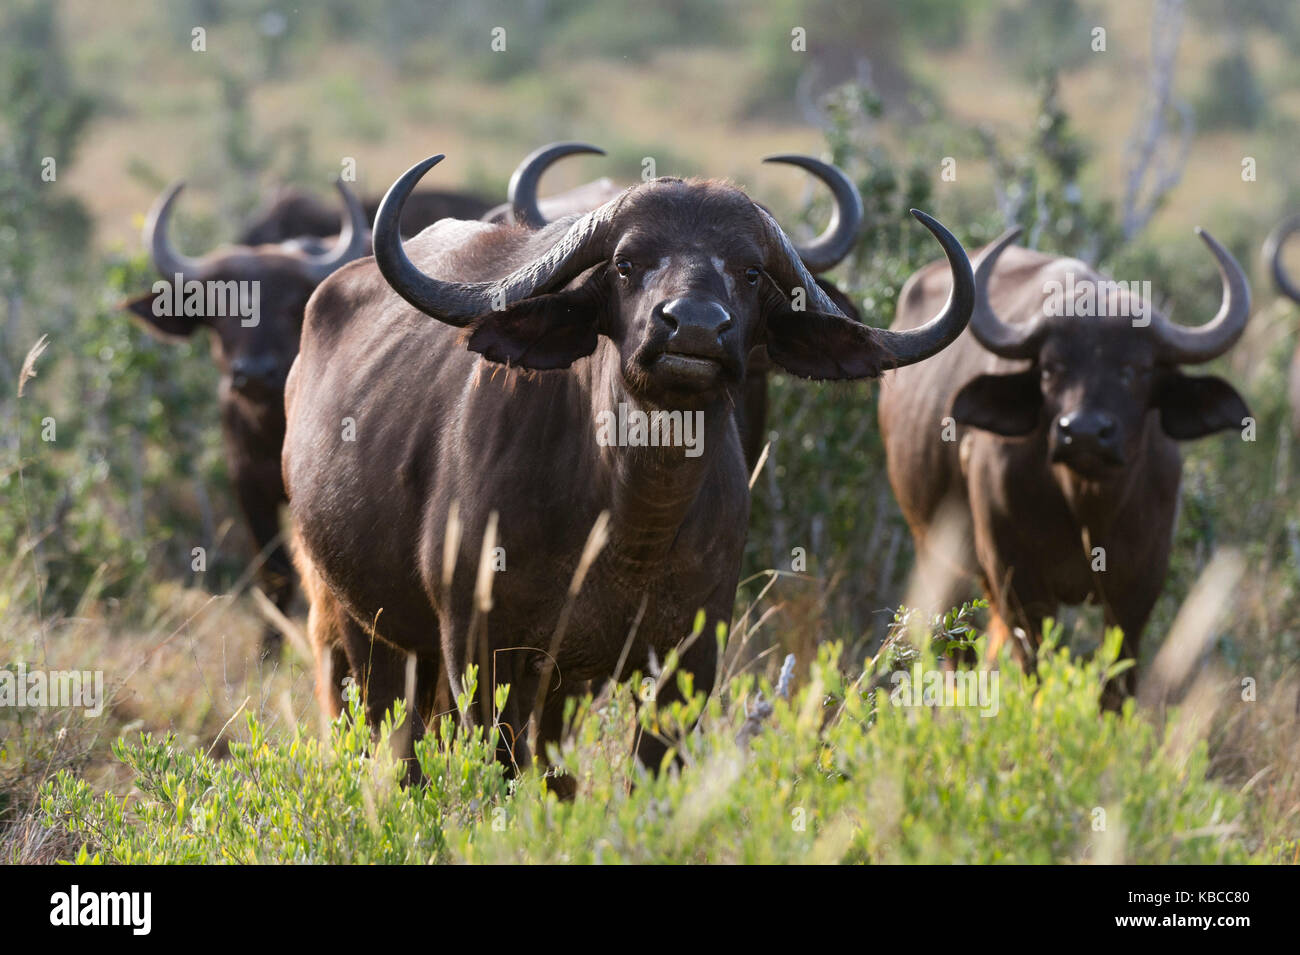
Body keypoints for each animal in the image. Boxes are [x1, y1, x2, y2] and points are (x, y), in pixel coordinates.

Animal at [124, 179, 370, 658]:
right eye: (218, 312)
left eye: (292, 306)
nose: (254, 373)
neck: (273, 430)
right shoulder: (247, 487)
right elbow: (273, 574)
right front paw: (268, 652)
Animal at [283, 151, 973, 785]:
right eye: (625, 262)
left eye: (751, 271)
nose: (693, 327)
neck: (628, 527)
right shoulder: (479, 650)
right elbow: (498, 771)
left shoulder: (685, 661)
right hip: (359, 624)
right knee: (389, 742)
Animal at [878, 227, 1252, 702]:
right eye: (1051, 368)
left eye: (1139, 368)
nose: (1085, 432)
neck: (1086, 504)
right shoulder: (1018, 578)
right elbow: (1034, 667)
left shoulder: (1139, 586)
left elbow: (1117, 683)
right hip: (937, 552)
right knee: (955, 648)